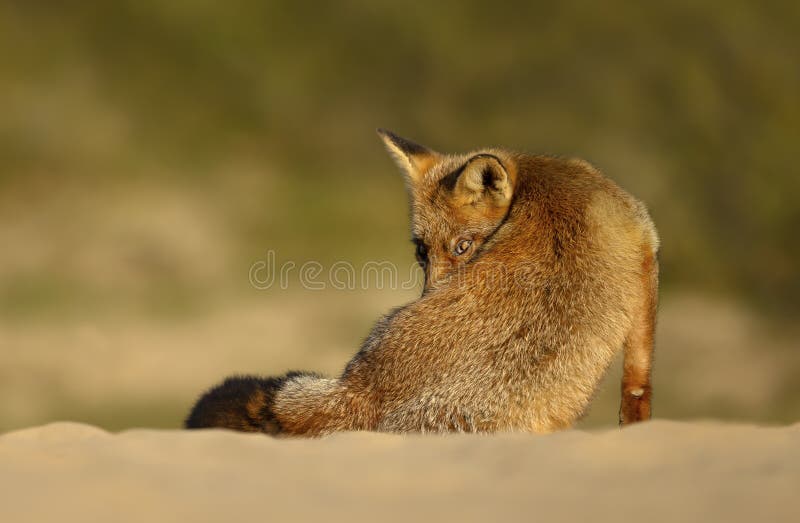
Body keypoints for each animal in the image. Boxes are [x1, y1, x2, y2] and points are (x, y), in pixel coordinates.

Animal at [185, 129, 659, 435]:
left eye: (465, 247)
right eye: (421, 252)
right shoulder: (646, 247)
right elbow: (638, 382)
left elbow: (636, 382)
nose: (431, 297)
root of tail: (363, 392)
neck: (540, 178)